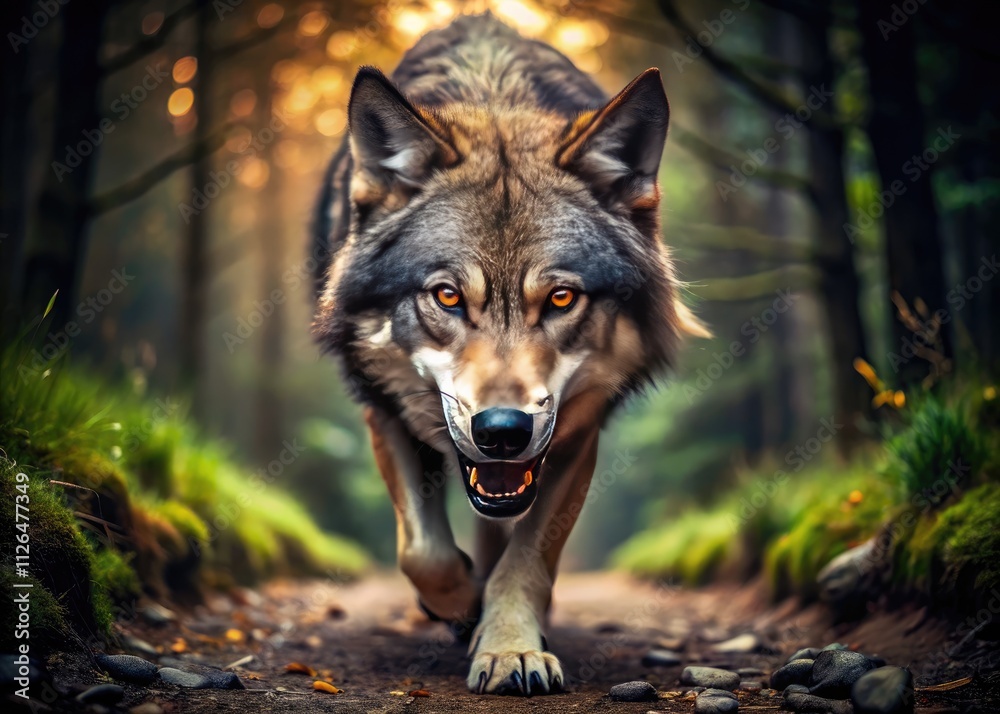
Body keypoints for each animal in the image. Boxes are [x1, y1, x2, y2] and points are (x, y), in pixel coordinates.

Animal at [313, 12, 706, 696]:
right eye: (447, 296)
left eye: (560, 298)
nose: (502, 431)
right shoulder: (382, 408)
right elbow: (424, 553)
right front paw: (464, 607)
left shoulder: (576, 436)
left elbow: (527, 557)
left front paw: (510, 647)